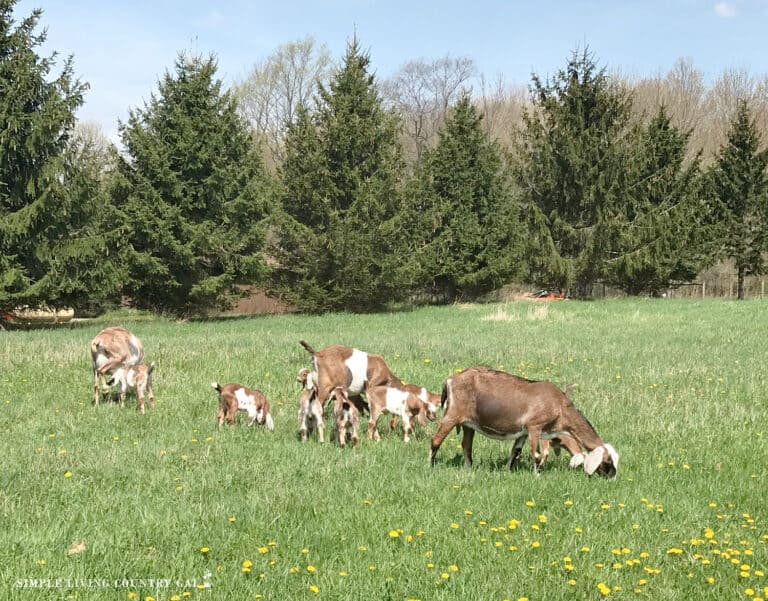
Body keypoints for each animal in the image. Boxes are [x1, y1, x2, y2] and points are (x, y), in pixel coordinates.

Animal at [429, 367, 618, 478]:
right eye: (607, 461)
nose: (612, 477)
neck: (559, 405)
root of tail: (450, 380)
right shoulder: (535, 427)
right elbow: (537, 454)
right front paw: (537, 475)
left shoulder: (523, 432)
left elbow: (516, 451)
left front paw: (508, 470)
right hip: (452, 414)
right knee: (436, 440)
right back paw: (430, 466)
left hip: (468, 423)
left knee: (466, 445)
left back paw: (469, 468)